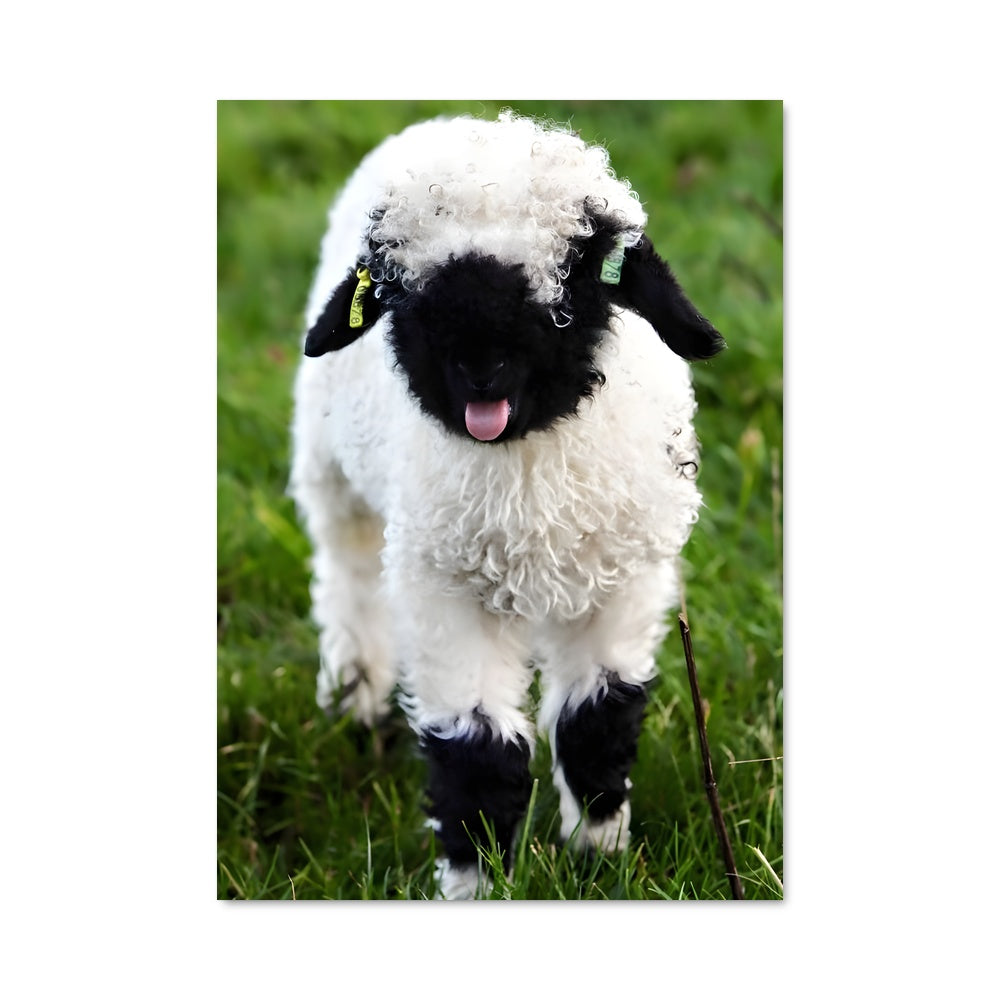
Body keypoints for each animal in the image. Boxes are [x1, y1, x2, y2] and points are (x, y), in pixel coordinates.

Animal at [289, 111, 725, 899]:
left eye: (572, 276)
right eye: (402, 291)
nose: (478, 365)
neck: (527, 483)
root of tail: (456, 119)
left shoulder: (622, 580)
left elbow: (597, 721)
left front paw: (598, 859)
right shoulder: (445, 590)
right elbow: (476, 753)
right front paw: (475, 882)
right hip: (332, 474)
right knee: (349, 576)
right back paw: (353, 694)